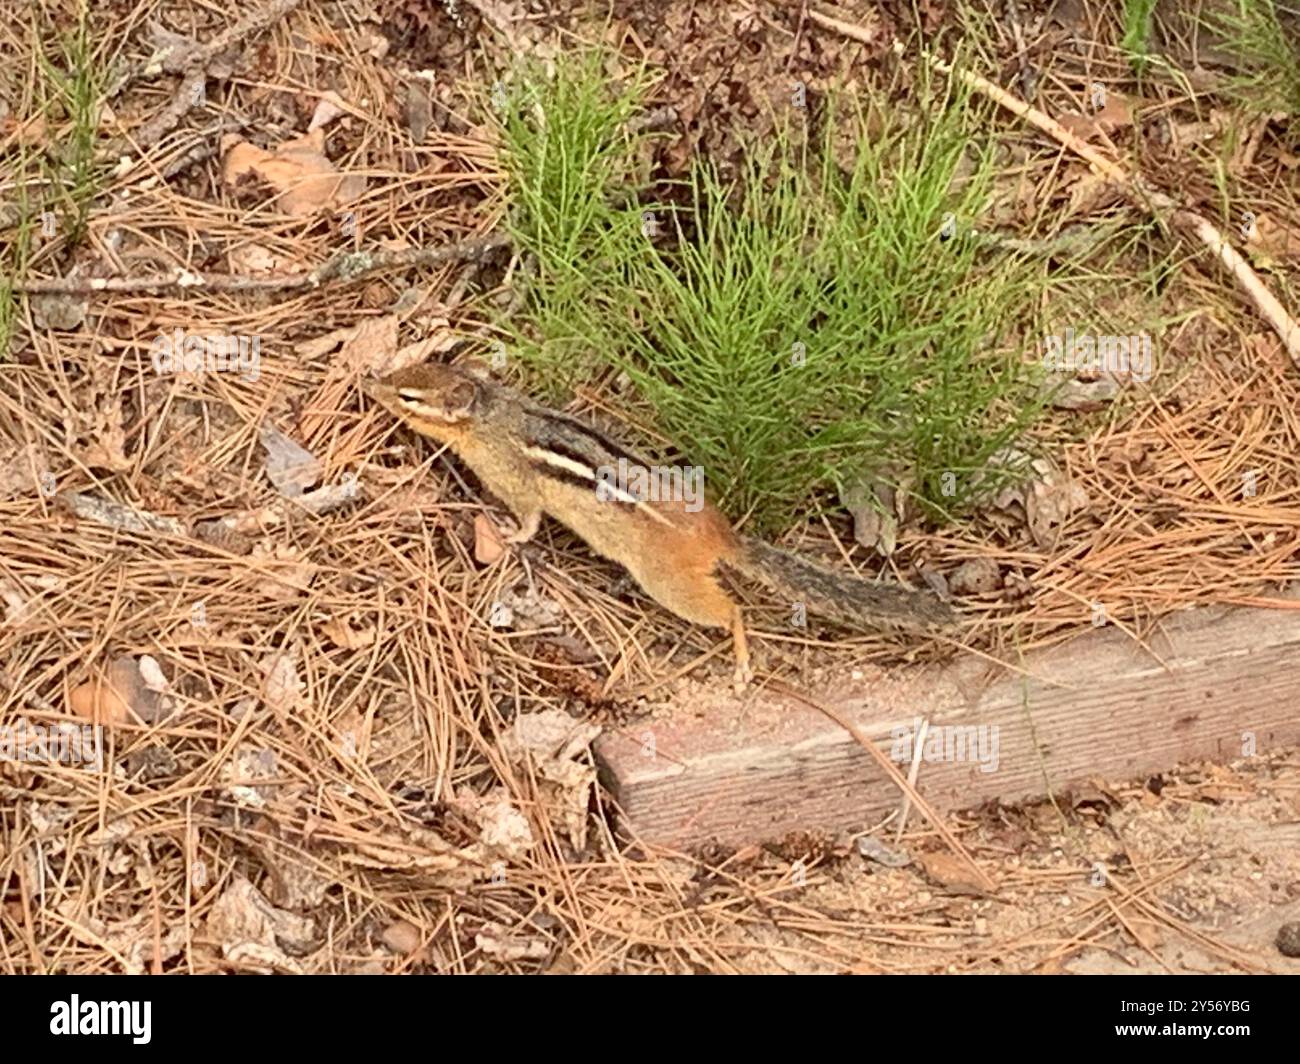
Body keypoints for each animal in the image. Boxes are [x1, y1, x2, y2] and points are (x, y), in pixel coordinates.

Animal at [364, 362, 955, 691]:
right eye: (409, 369)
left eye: (410, 398)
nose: (373, 384)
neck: (489, 415)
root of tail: (722, 535)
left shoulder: (515, 483)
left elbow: (529, 519)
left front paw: (509, 536)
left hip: (668, 582)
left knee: (731, 610)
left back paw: (741, 662)